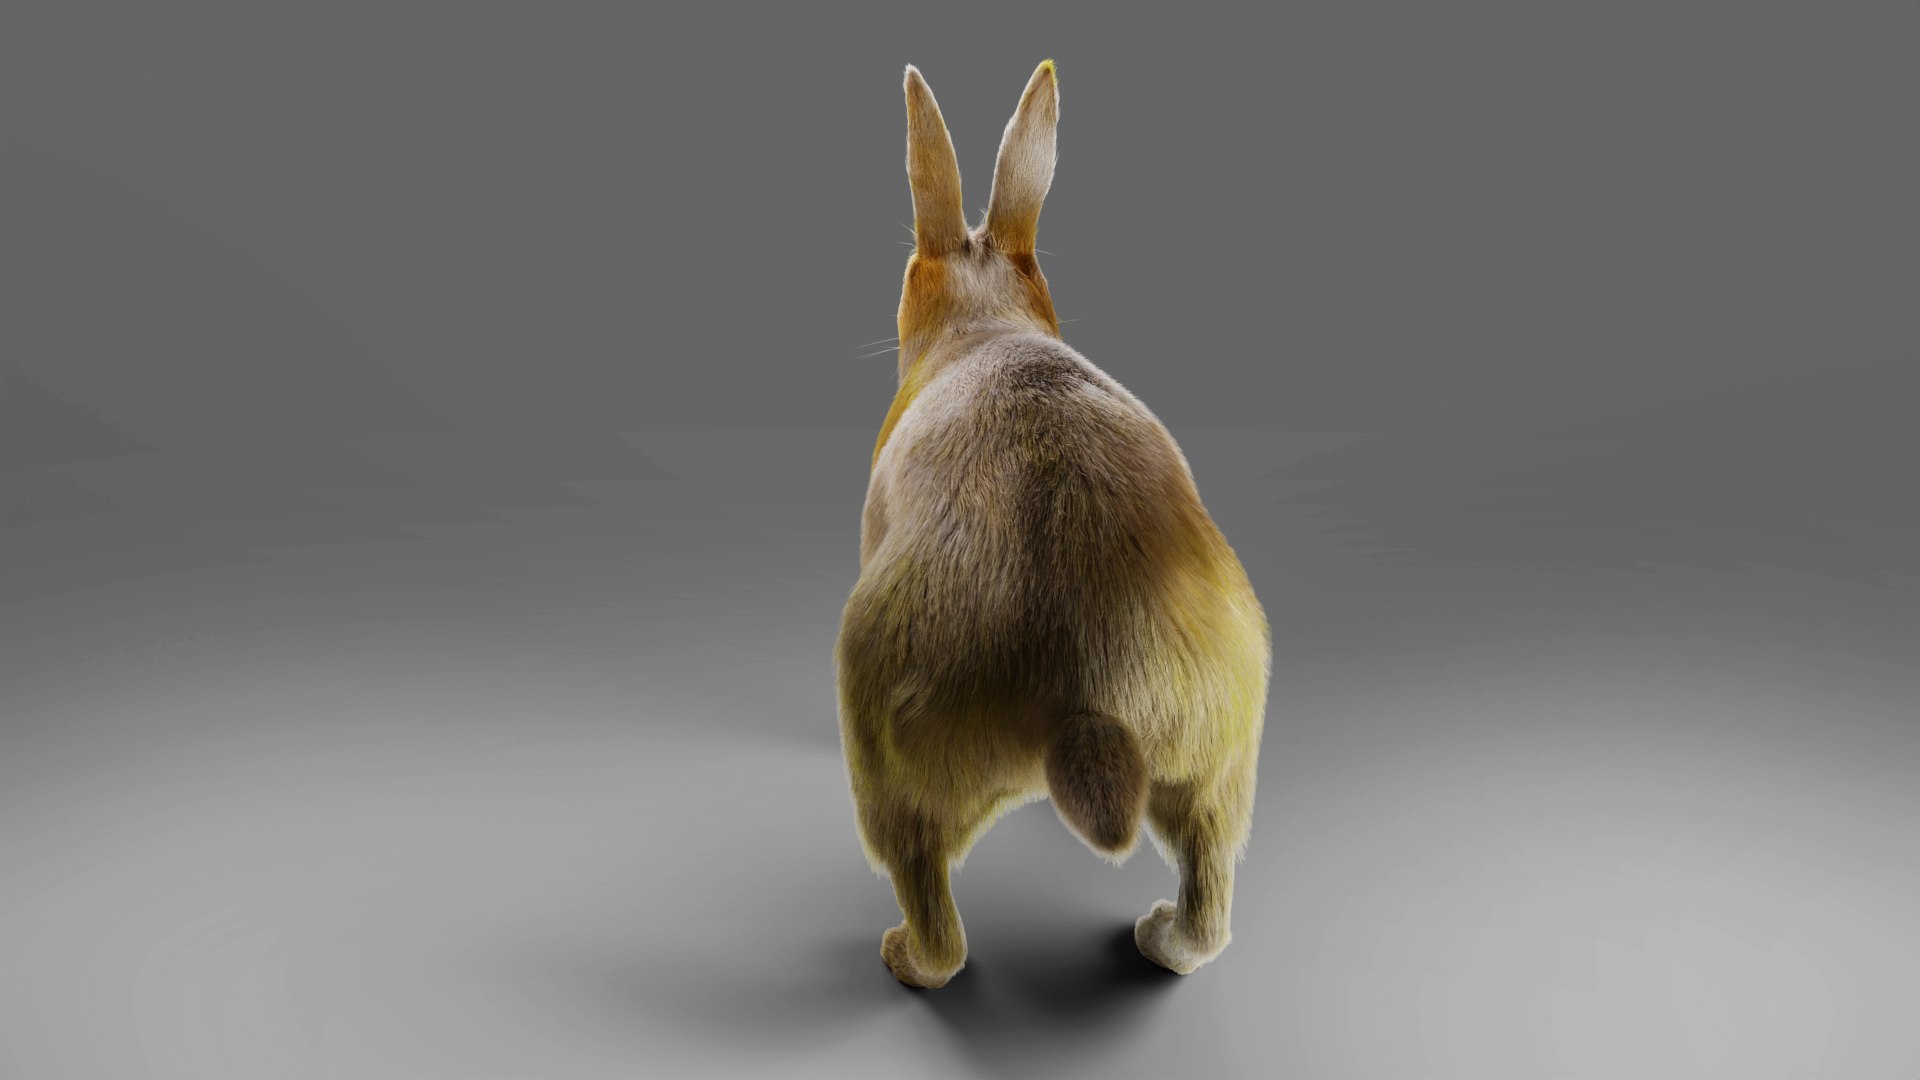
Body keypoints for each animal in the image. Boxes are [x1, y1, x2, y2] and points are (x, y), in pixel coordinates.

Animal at [834, 60, 1271, 989]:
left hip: (885, 738)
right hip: (1219, 759)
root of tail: (1088, 682)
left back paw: (902, 957)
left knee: (938, 921)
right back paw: (1158, 936)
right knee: (1208, 907)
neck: (984, 319)